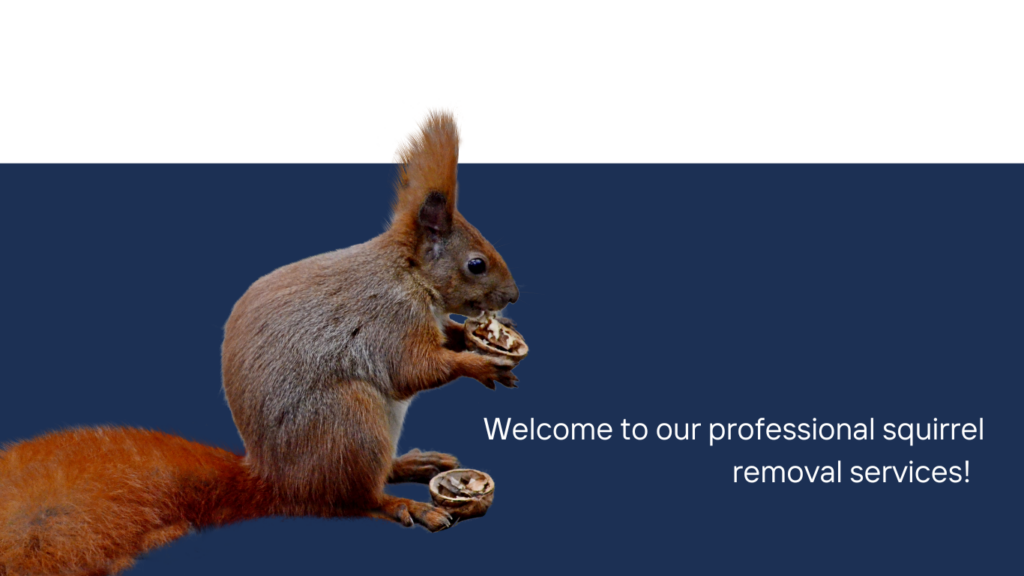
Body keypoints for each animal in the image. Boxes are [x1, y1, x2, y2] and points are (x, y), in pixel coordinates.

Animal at [0, 112, 521, 576]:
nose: (514, 296)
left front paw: (470, 337)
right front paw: (477, 365)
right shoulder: (389, 319)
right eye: (476, 264)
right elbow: (413, 369)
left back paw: (411, 463)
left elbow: (441, 340)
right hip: (350, 423)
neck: (409, 273)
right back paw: (402, 505)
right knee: (353, 501)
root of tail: (275, 482)